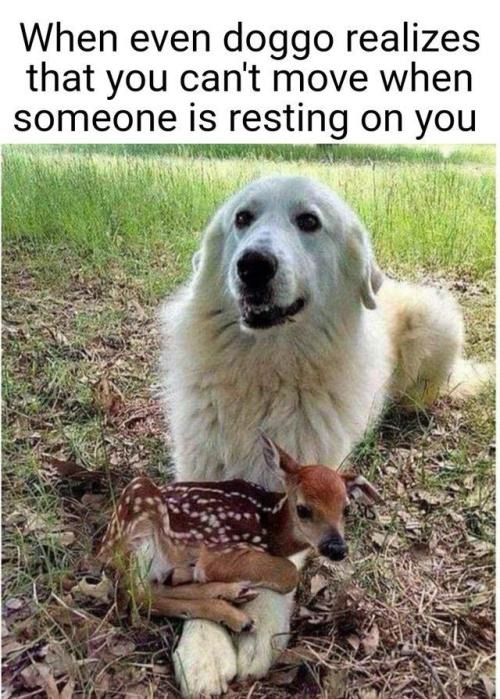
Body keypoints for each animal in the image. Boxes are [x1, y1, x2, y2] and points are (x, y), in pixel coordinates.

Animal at [98, 434, 382, 632]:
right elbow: (288, 573)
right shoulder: (220, 549)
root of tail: (102, 548)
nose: (337, 548)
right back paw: (236, 614)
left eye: (346, 508)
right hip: (139, 510)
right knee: (135, 594)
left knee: (149, 588)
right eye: (303, 509)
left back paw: (228, 593)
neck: (269, 527)